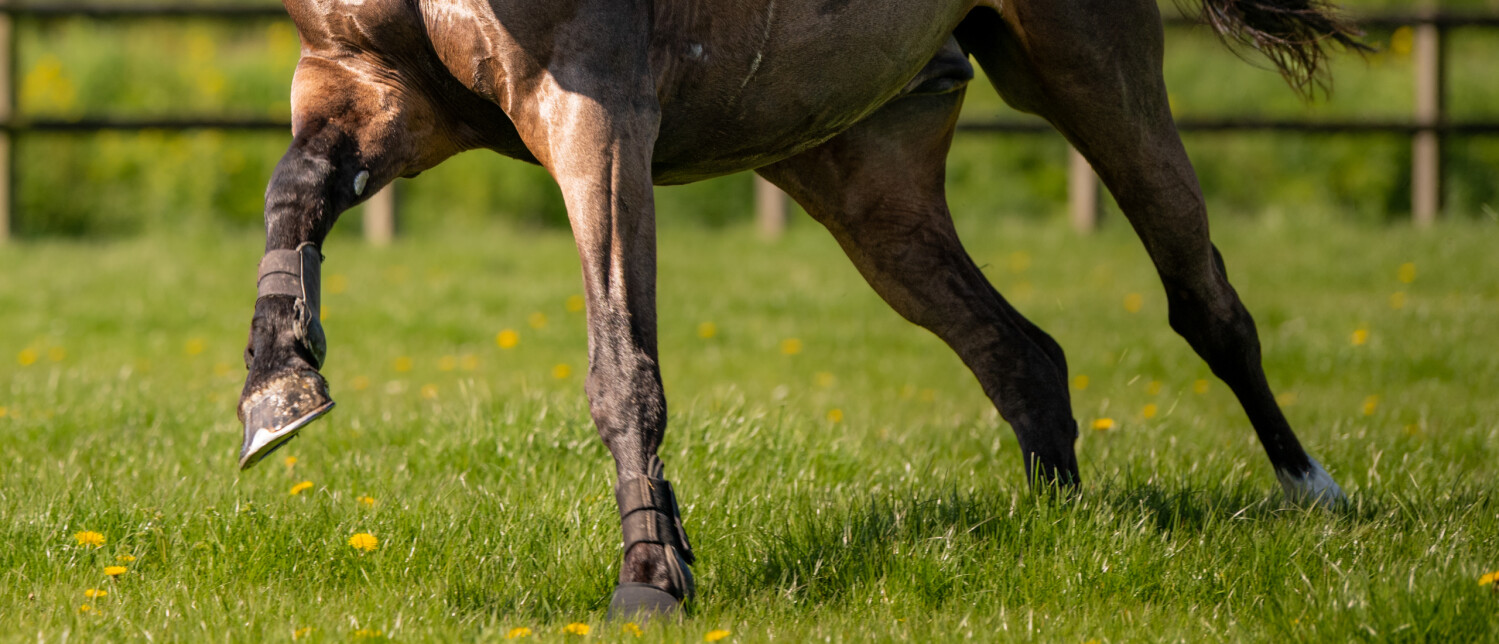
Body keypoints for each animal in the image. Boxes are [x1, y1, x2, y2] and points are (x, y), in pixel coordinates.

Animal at [237, 0, 1365, 617]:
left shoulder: (594, 114)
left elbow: (621, 366)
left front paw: (649, 576)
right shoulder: (370, 85)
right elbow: (291, 192)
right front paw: (276, 388)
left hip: (1086, 72)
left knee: (1204, 300)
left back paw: (1313, 492)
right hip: (859, 174)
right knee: (1019, 351)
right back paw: (1056, 529)